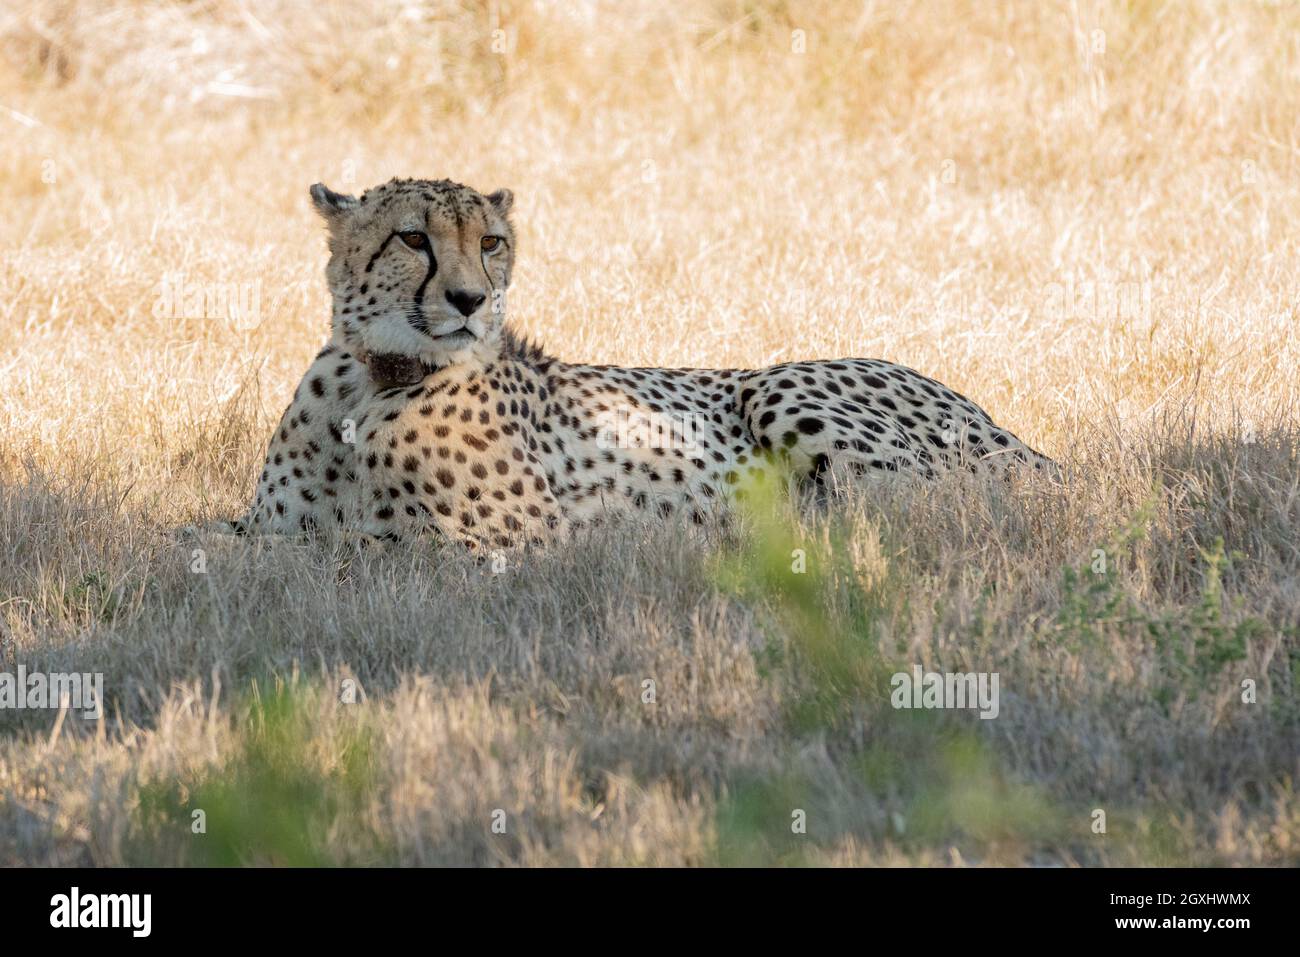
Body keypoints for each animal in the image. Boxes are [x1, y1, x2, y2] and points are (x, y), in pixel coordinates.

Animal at [216, 177, 1054, 551]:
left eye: (490, 241)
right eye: (413, 238)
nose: (470, 300)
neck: (374, 378)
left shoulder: (504, 546)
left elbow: (357, 547)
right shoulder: (264, 528)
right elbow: (218, 541)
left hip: (783, 390)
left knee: (941, 509)